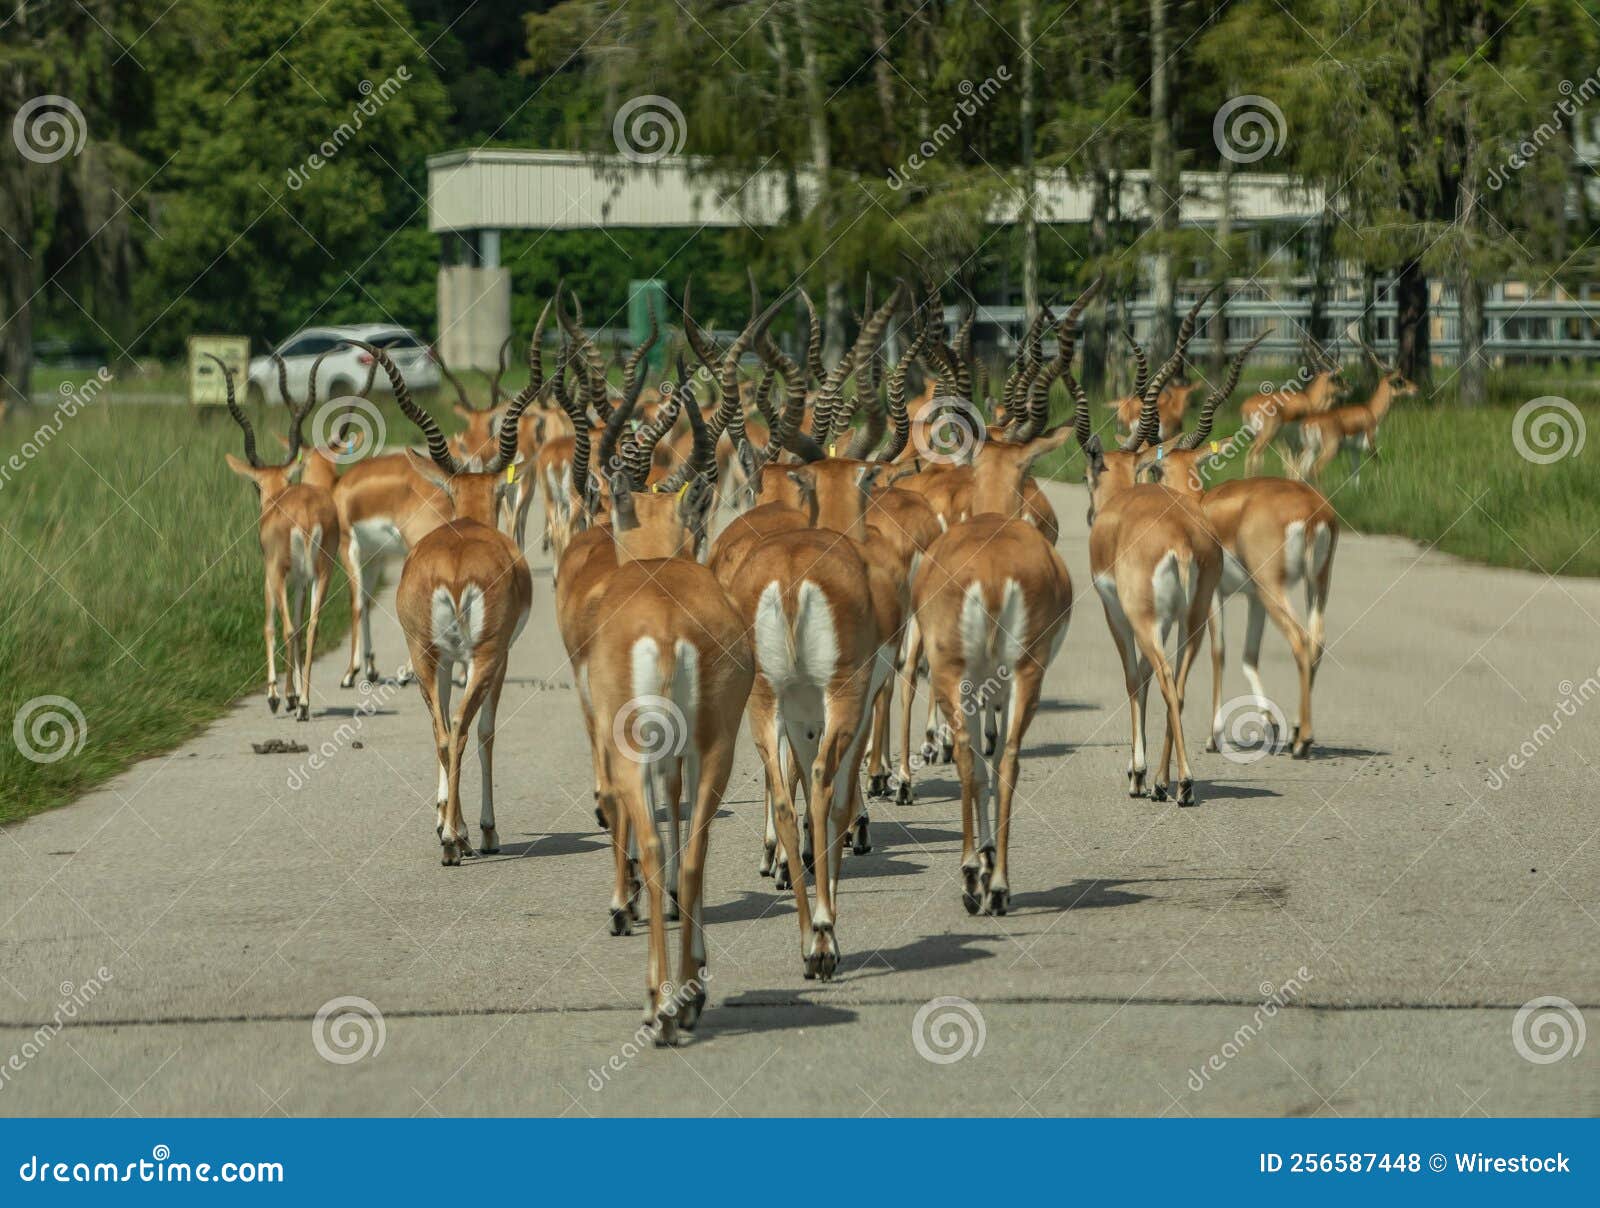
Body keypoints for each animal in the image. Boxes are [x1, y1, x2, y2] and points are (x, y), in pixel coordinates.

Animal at [214, 354, 340, 722]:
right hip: (323, 573)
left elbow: (270, 625)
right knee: (311, 627)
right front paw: (293, 695)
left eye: (255, 485)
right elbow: (298, 624)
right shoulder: (300, 580)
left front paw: (278, 696)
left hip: (281, 572)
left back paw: (296, 704)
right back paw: (306, 703)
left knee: (286, 628)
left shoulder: (271, 572)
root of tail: (309, 516)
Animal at [1076, 292, 1223, 806]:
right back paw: (1170, 780)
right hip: (1193, 618)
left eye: (1087, 473)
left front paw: (1135, 773)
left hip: (1147, 619)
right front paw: (1143, 773)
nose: (1089, 514)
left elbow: (1131, 677)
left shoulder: (1115, 613)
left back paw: (1176, 783)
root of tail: (1180, 540)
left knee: (1159, 677)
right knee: (1178, 683)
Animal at [1240, 335, 1347, 474]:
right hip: (1267, 435)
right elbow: (1297, 464)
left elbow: (1290, 464)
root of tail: (1246, 406)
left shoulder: (1287, 440)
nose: (1349, 388)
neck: (1309, 400)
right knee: (1253, 454)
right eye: (1337, 379)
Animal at [1295, 340, 1416, 483]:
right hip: (1329, 450)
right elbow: (1377, 462)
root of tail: (1310, 422)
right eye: (1400, 380)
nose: (1415, 389)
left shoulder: (1354, 450)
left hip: (1310, 449)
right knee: (1314, 469)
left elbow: (1355, 473)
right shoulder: (1371, 443)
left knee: (1300, 470)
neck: (1370, 410)